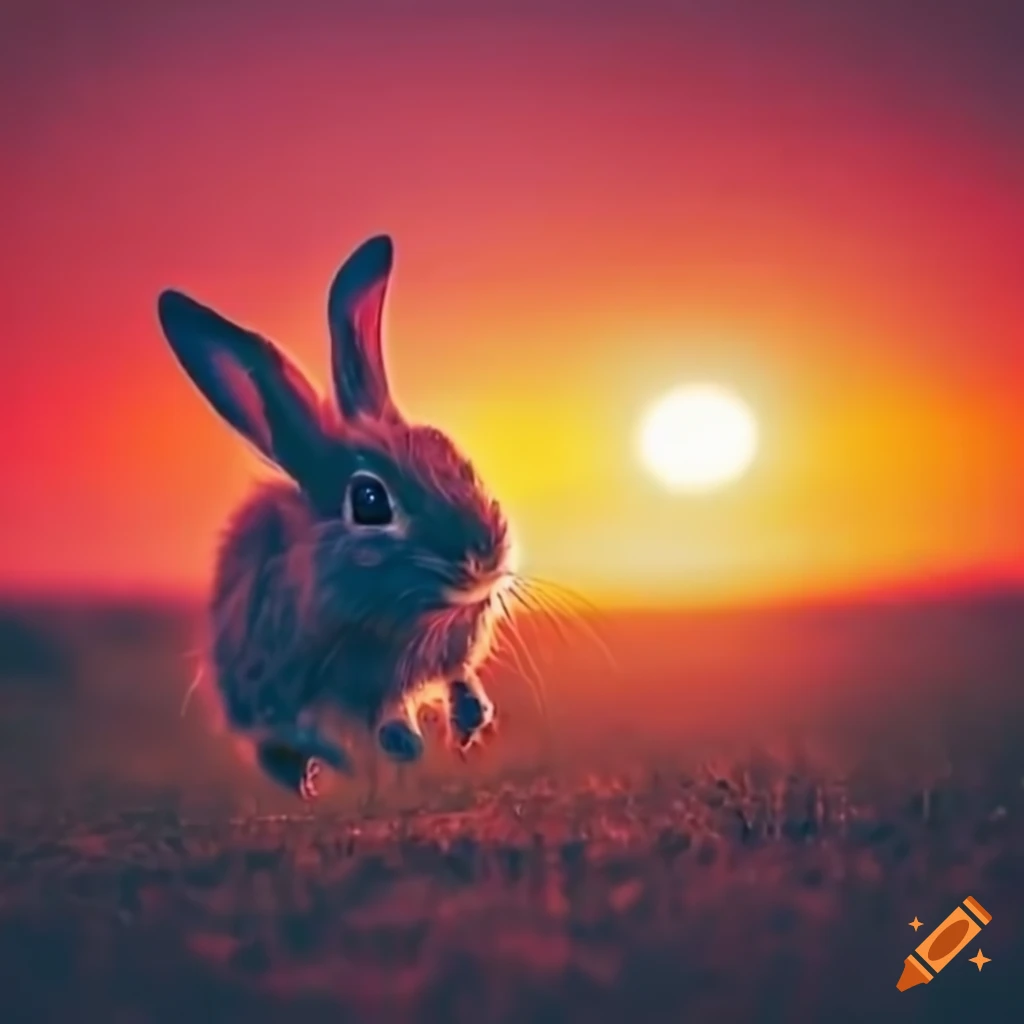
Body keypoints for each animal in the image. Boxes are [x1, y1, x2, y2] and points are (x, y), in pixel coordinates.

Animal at [157, 235, 511, 798]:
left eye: (450, 453)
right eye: (369, 501)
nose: (484, 558)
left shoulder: (447, 655)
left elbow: (458, 678)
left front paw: (470, 722)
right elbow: (372, 711)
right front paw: (401, 743)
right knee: (274, 738)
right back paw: (320, 771)